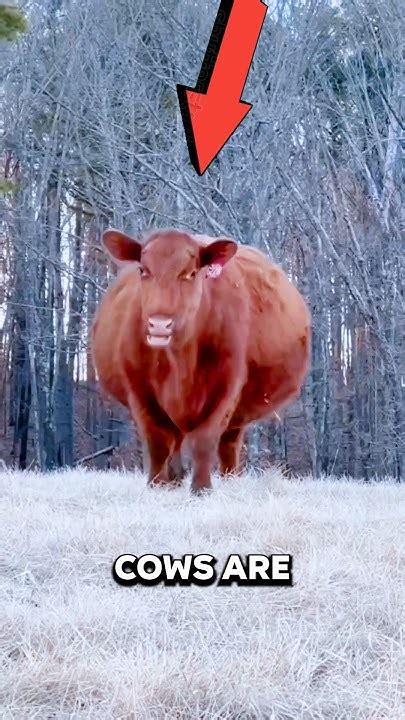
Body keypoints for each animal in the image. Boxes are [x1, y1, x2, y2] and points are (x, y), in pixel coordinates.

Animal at [91, 228, 311, 494]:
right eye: (143, 270)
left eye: (191, 273)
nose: (159, 324)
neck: (179, 363)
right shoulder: (139, 389)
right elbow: (158, 441)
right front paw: (156, 486)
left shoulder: (227, 386)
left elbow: (204, 440)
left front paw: (201, 488)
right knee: (175, 441)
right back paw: (174, 479)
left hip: (239, 413)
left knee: (228, 445)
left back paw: (228, 480)